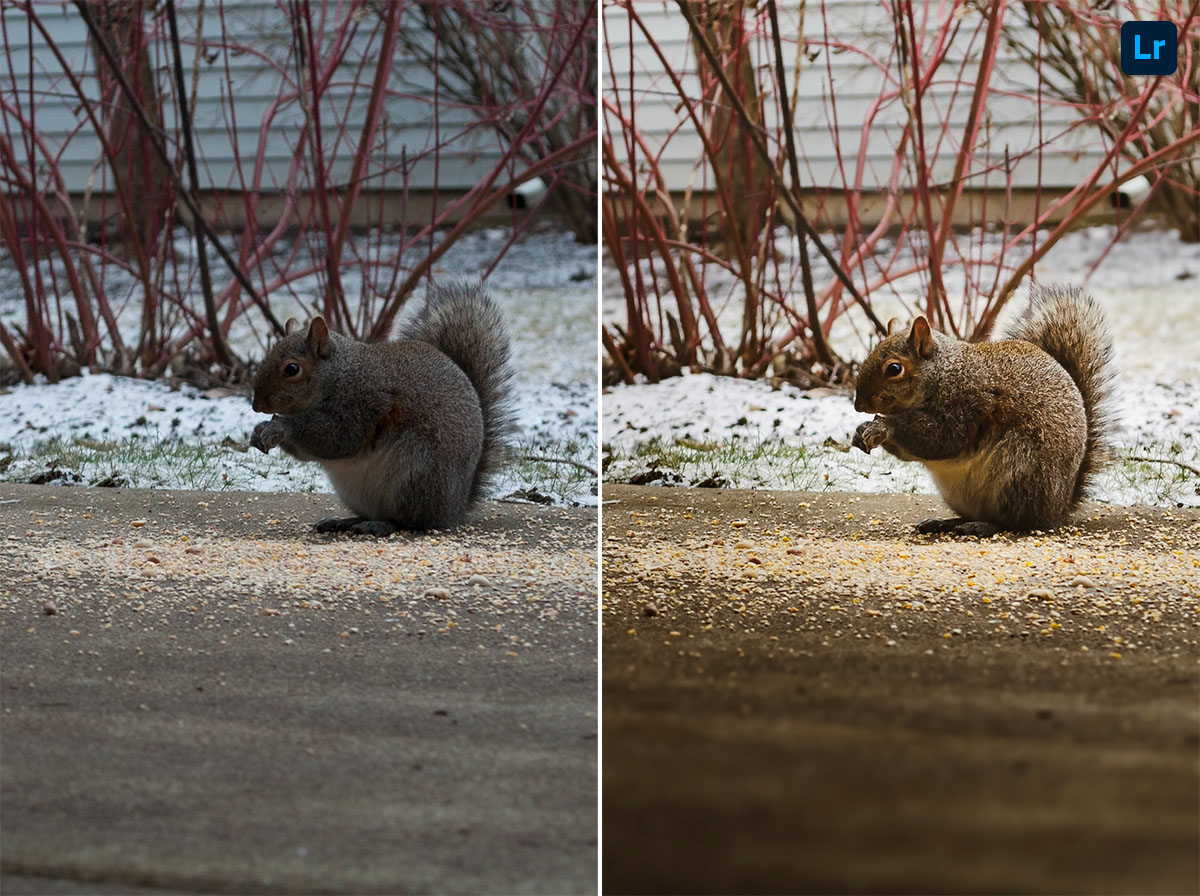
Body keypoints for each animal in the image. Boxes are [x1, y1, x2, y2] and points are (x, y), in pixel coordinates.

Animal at [249, 281, 517, 536]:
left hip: (417, 475)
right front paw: (259, 430)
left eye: (292, 369)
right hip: (357, 491)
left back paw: (382, 525)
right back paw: (343, 521)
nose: (256, 405)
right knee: (369, 514)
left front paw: (281, 426)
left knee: (411, 521)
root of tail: (455, 507)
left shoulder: (362, 405)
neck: (340, 374)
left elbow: (334, 438)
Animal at [851, 284, 1117, 537]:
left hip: (1018, 472)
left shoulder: (964, 406)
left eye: (894, 368)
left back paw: (983, 526)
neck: (943, 374)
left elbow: (935, 439)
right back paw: (944, 522)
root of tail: (1059, 508)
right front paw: (860, 431)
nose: (858, 405)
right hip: (960, 492)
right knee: (973, 514)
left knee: (1016, 522)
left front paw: (882, 426)